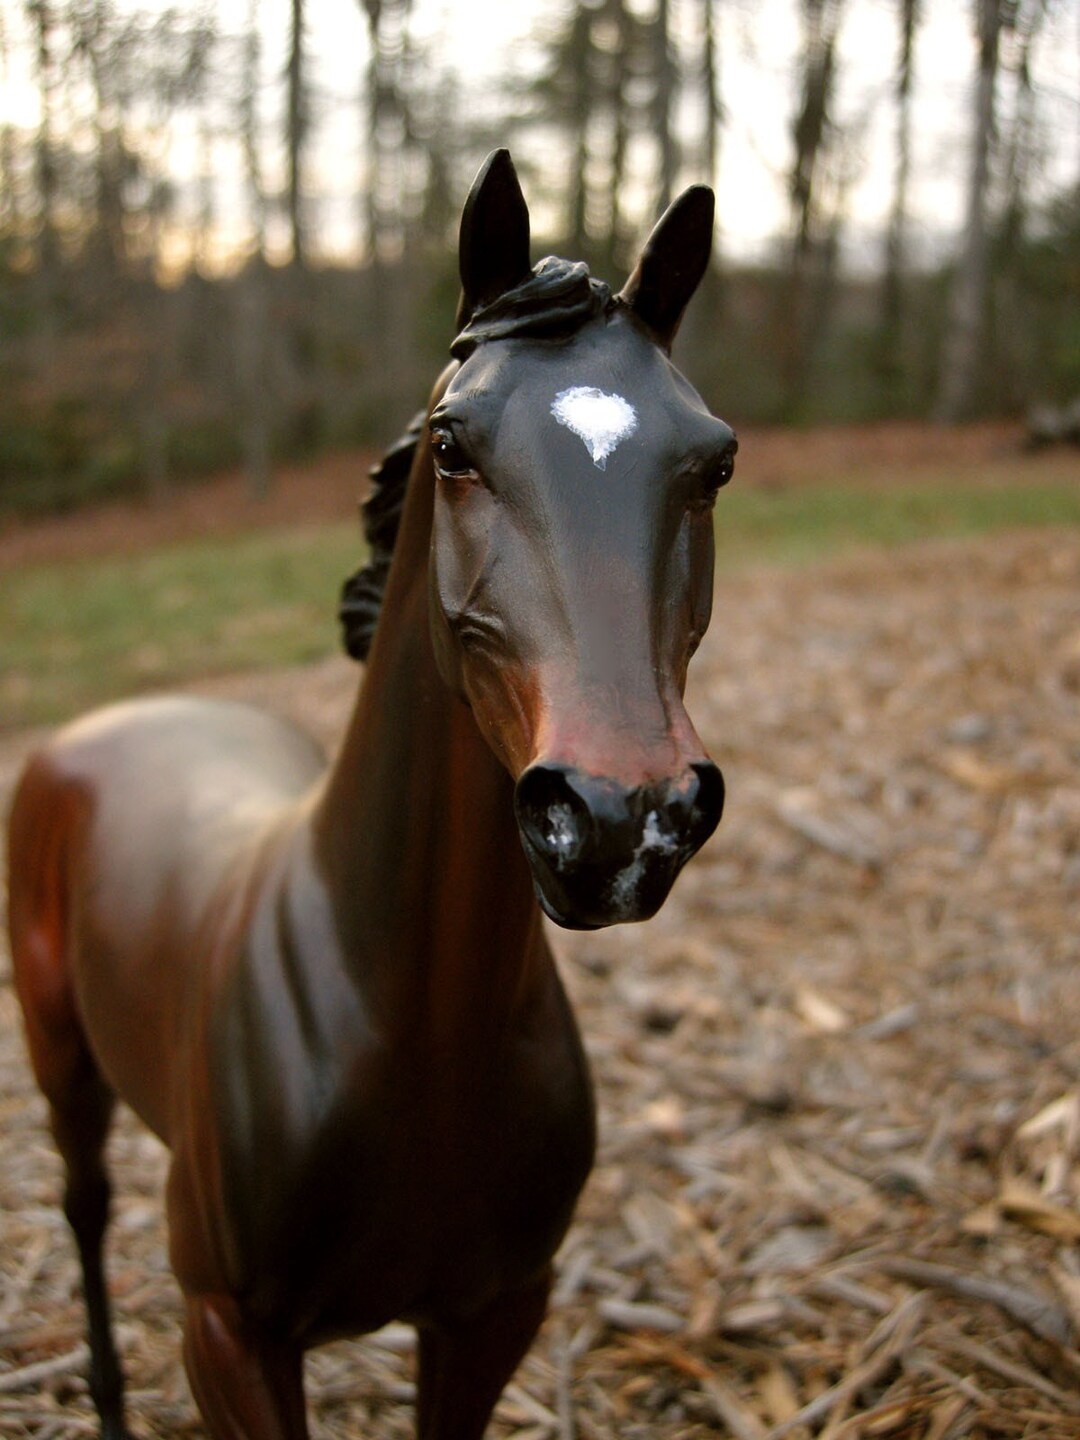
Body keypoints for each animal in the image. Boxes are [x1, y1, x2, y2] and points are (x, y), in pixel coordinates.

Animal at [5, 149, 737, 1440]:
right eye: (451, 444)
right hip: (61, 1062)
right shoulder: (229, 1338)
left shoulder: (492, 1317)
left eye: (717, 459)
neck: (406, 1029)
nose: (618, 819)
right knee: (82, 1208)